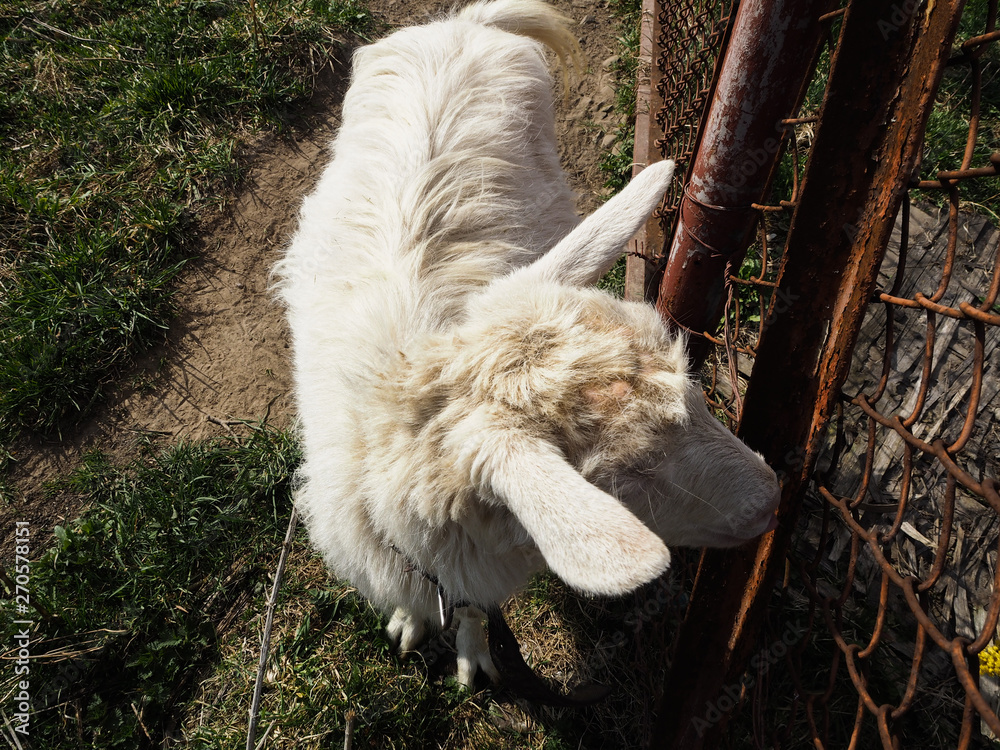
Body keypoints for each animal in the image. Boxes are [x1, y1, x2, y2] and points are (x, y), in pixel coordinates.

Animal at [275, 0, 781, 698]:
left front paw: (472, 653)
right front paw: (410, 622)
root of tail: (468, 24)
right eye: (626, 477)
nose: (773, 497)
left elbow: (473, 615)